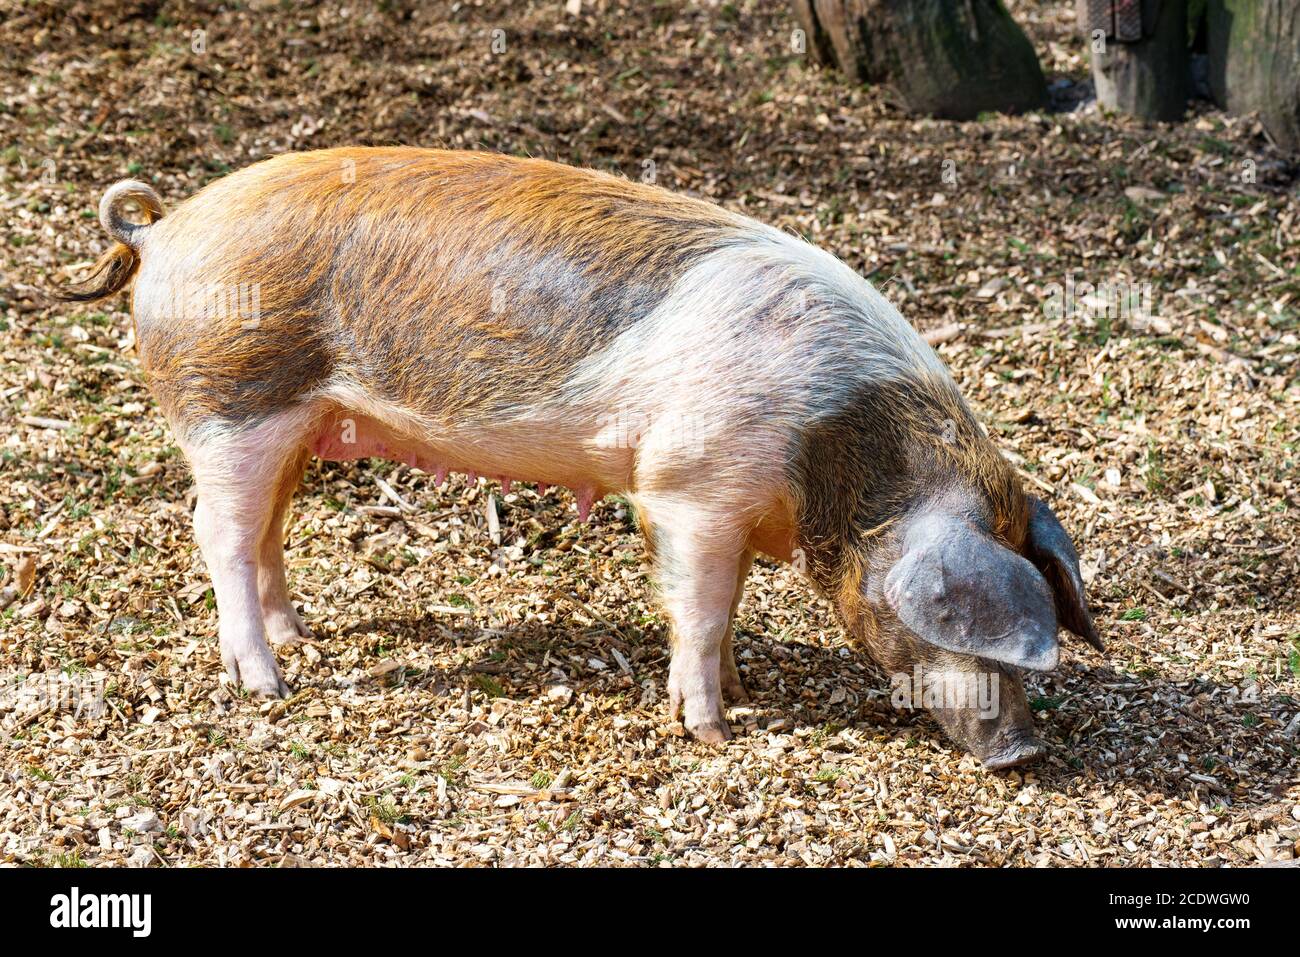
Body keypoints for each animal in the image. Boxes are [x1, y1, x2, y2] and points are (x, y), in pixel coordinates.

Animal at [60, 147, 1102, 768]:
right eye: (955, 624)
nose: (1022, 751)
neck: (830, 452)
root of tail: (161, 228)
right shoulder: (688, 484)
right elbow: (699, 604)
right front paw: (713, 726)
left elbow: (722, 608)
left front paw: (743, 688)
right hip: (230, 402)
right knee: (218, 533)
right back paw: (269, 681)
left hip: (299, 427)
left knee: (266, 530)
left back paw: (305, 635)